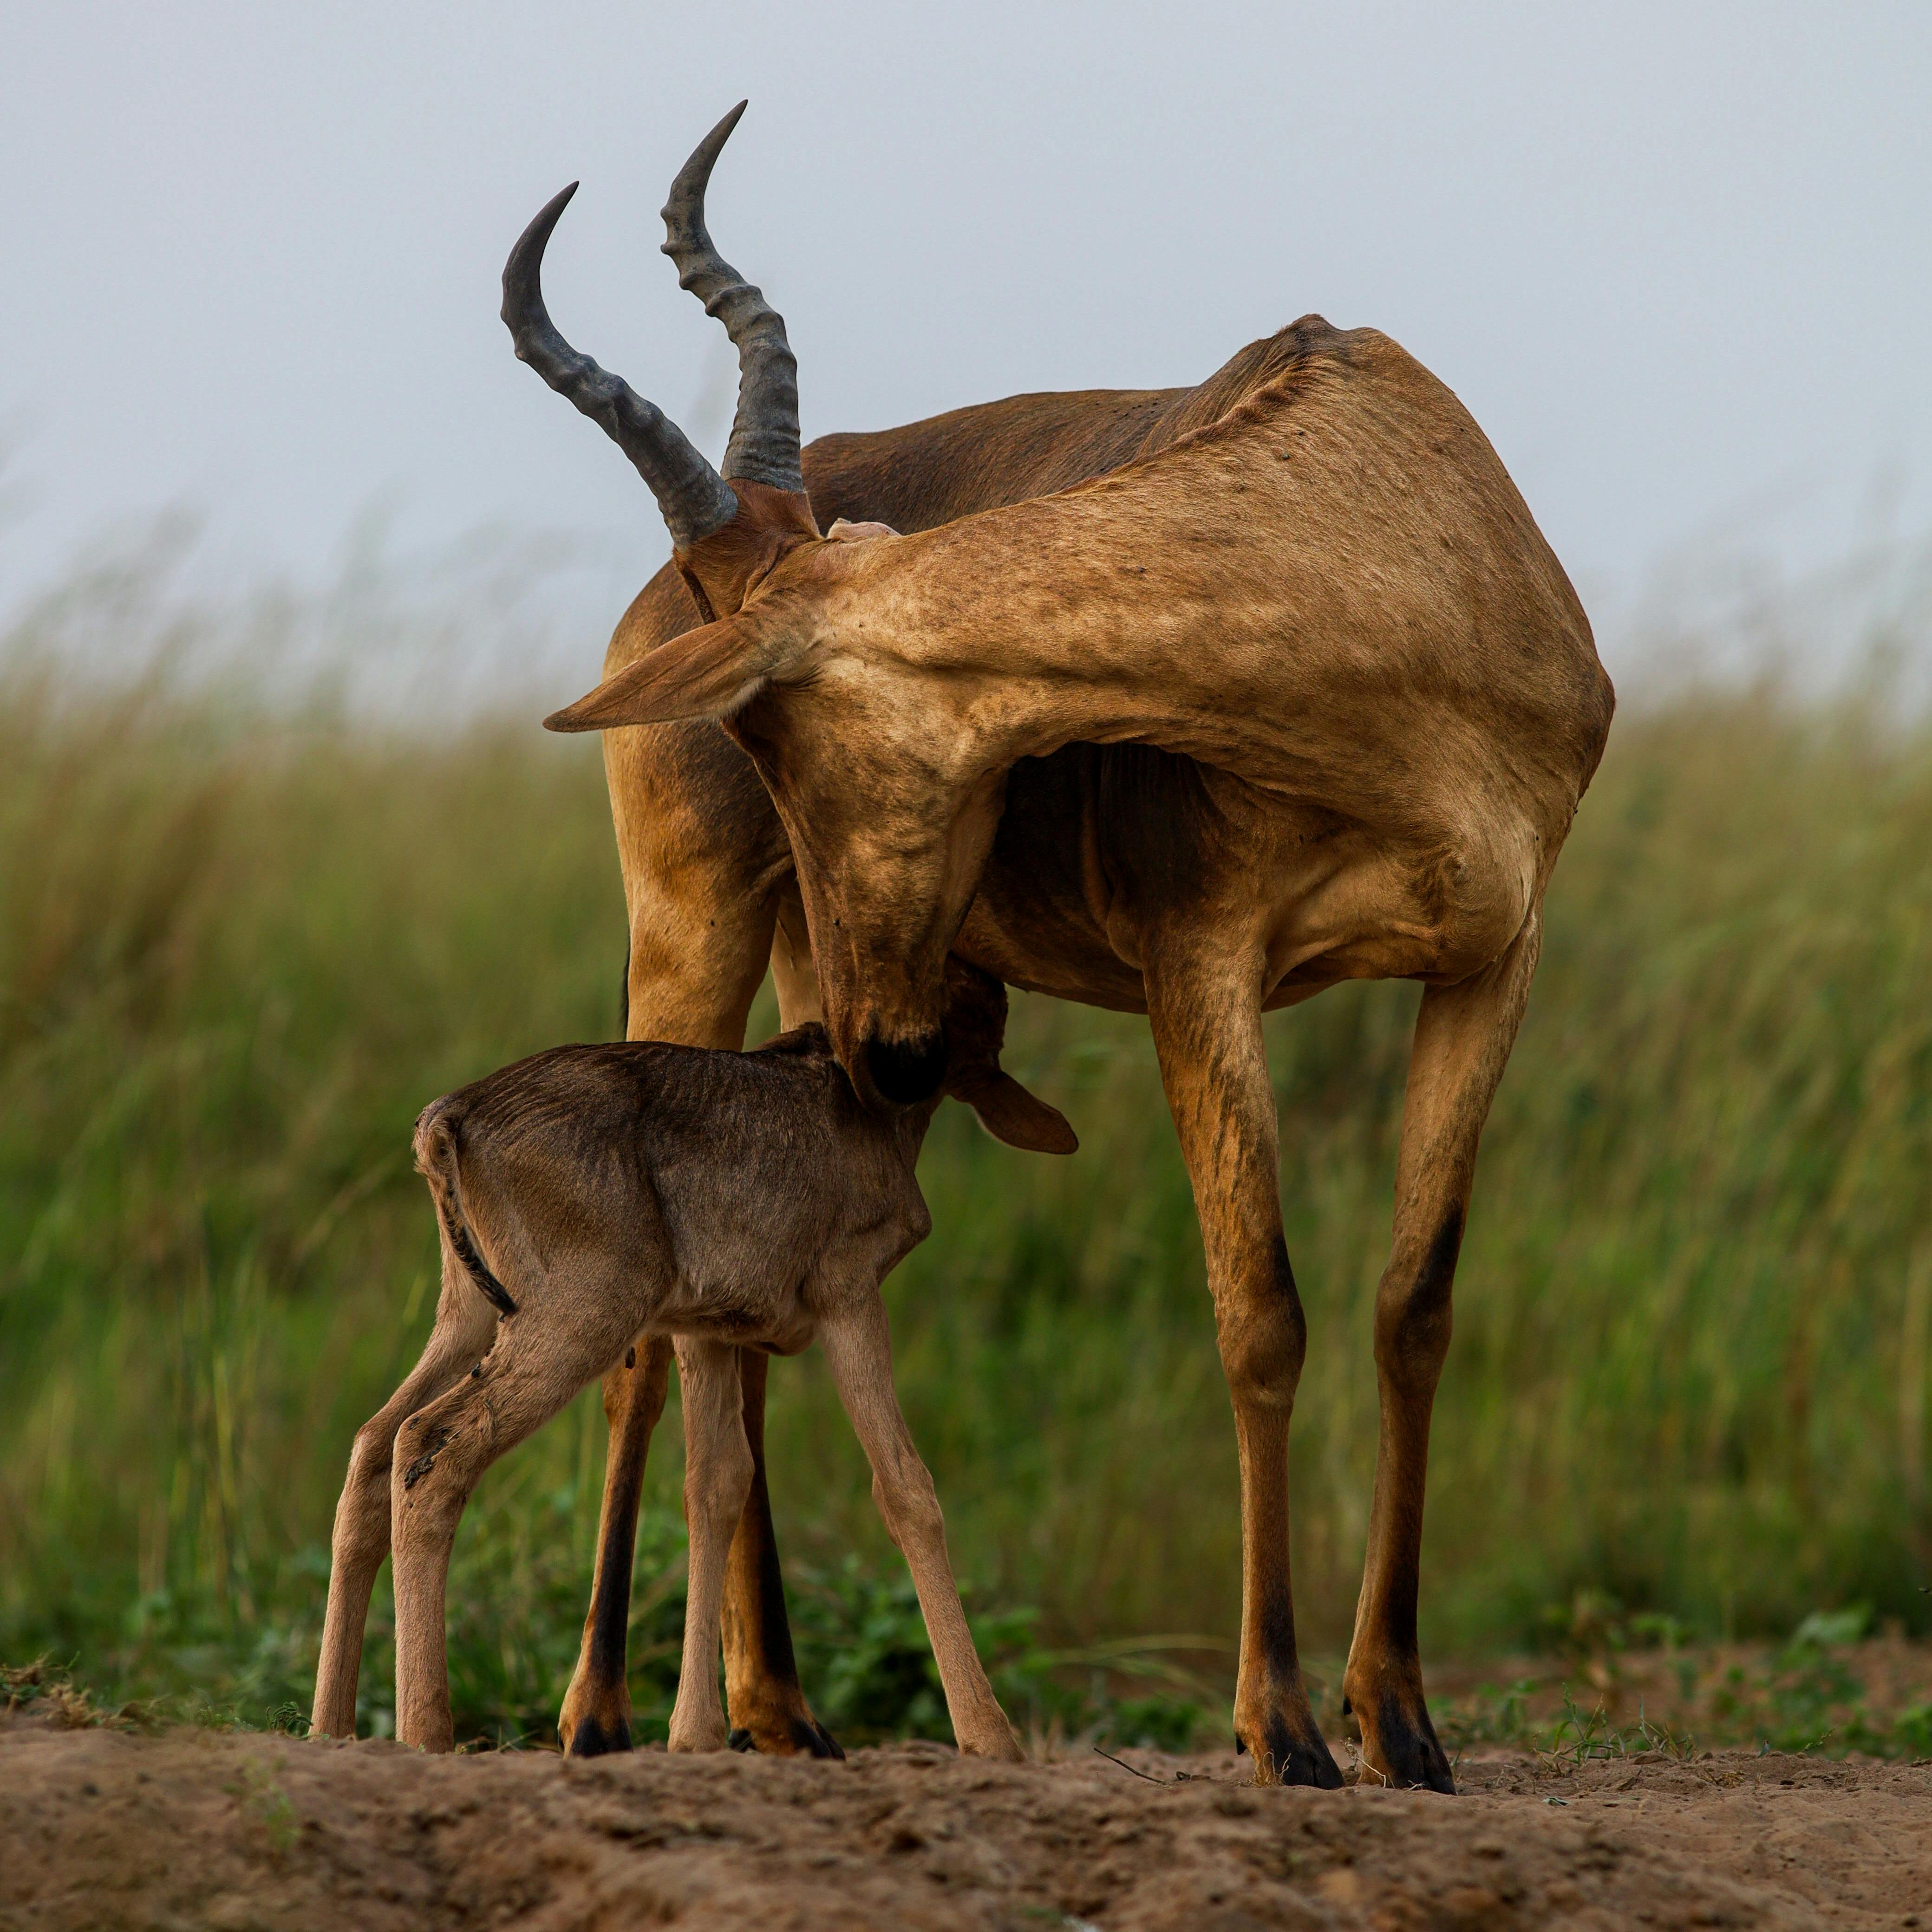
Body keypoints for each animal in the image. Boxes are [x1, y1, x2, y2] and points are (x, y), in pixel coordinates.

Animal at [309, 961, 1072, 1755]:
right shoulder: (851, 1296)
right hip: (575, 1320)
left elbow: (718, 1484)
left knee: (374, 1444)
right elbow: (905, 1487)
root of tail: (449, 1120)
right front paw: (990, 1736)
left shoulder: (708, 1328)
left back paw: (328, 1726)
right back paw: (425, 1730)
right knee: (431, 1447)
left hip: (469, 1317)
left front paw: (697, 1733)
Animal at [504, 106, 1615, 1790]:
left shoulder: (1494, 962)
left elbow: (1410, 1310)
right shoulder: (1201, 967)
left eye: (775, 715)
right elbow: (1258, 1313)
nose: (896, 1045)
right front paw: (1282, 1727)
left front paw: (1403, 1722)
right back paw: (601, 1715)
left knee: (743, 1314)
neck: (1390, 507)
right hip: (698, 936)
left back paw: (780, 1712)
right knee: (649, 1331)